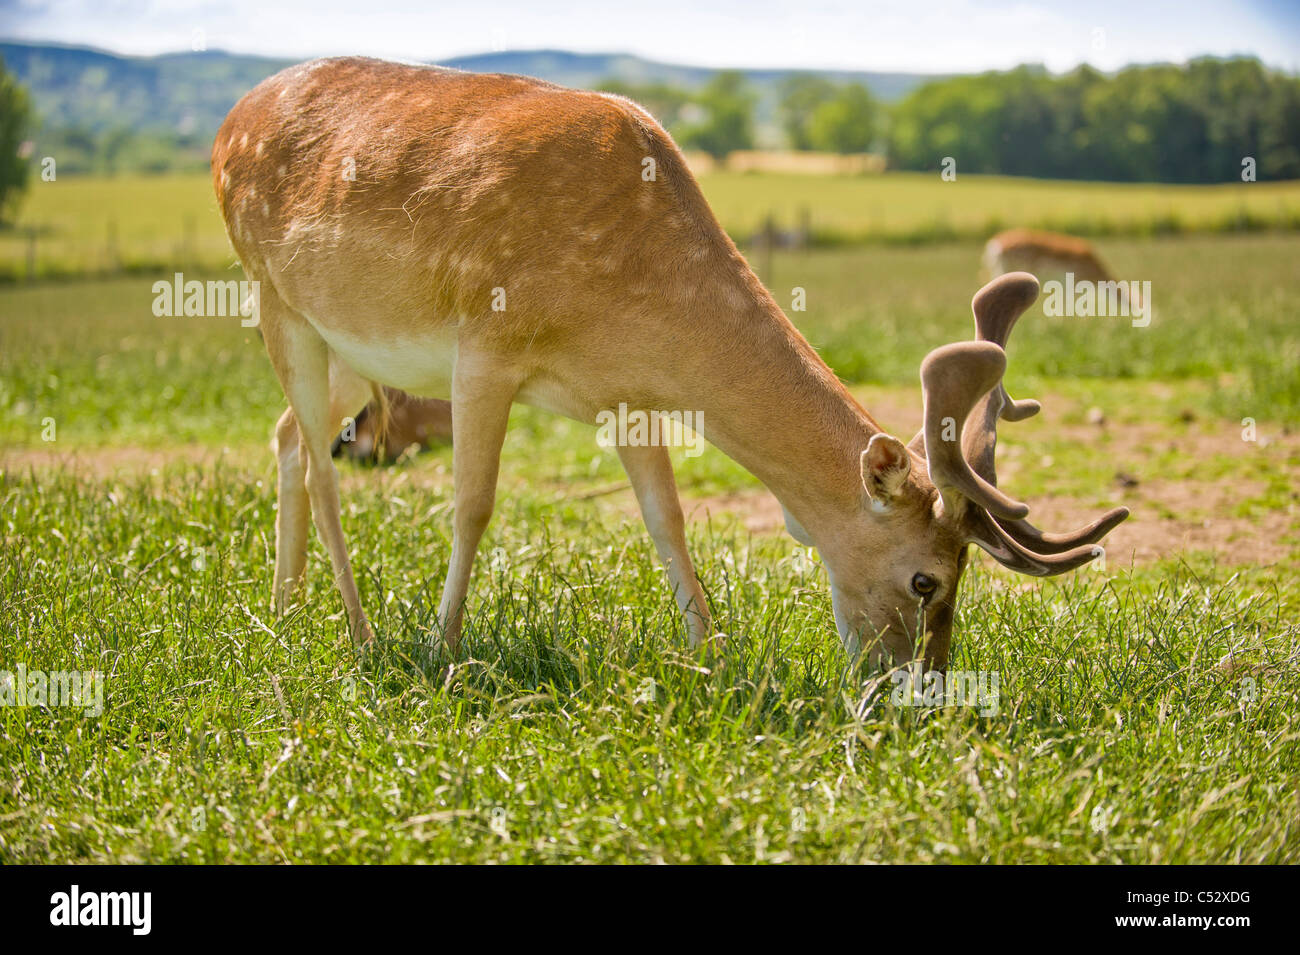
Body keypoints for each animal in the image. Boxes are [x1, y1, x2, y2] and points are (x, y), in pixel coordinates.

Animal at [212, 57, 1127, 670]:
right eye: (926, 579)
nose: (921, 687)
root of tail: (228, 123)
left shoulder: (629, 398)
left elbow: (667, 519)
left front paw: (712, 654)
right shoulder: (486, 344)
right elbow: (472, 505)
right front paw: (445, 647)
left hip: (349, 348)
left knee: (287, 434)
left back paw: (283, 609)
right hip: (274, 296)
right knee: (322, 463)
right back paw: (362, 633)